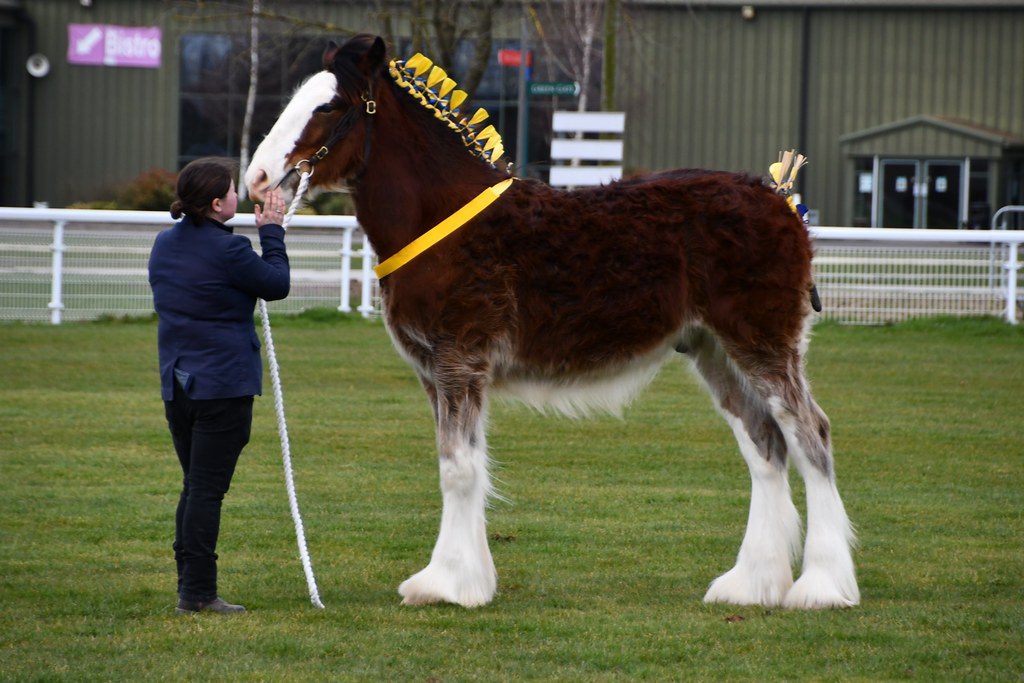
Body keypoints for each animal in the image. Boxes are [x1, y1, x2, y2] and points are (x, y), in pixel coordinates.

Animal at [245, 34, 859, 609]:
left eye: (330, 105)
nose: (256, 179)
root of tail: (781, 199)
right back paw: (753, 584)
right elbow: (463, 461)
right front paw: (467, 578)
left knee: (810, 434)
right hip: (714, 351)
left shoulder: (459, 361)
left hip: (762, 343)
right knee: (765, 445)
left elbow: (457, 469)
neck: (441, 218)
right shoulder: (437, 372)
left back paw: (822, 586)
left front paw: (448, 584)